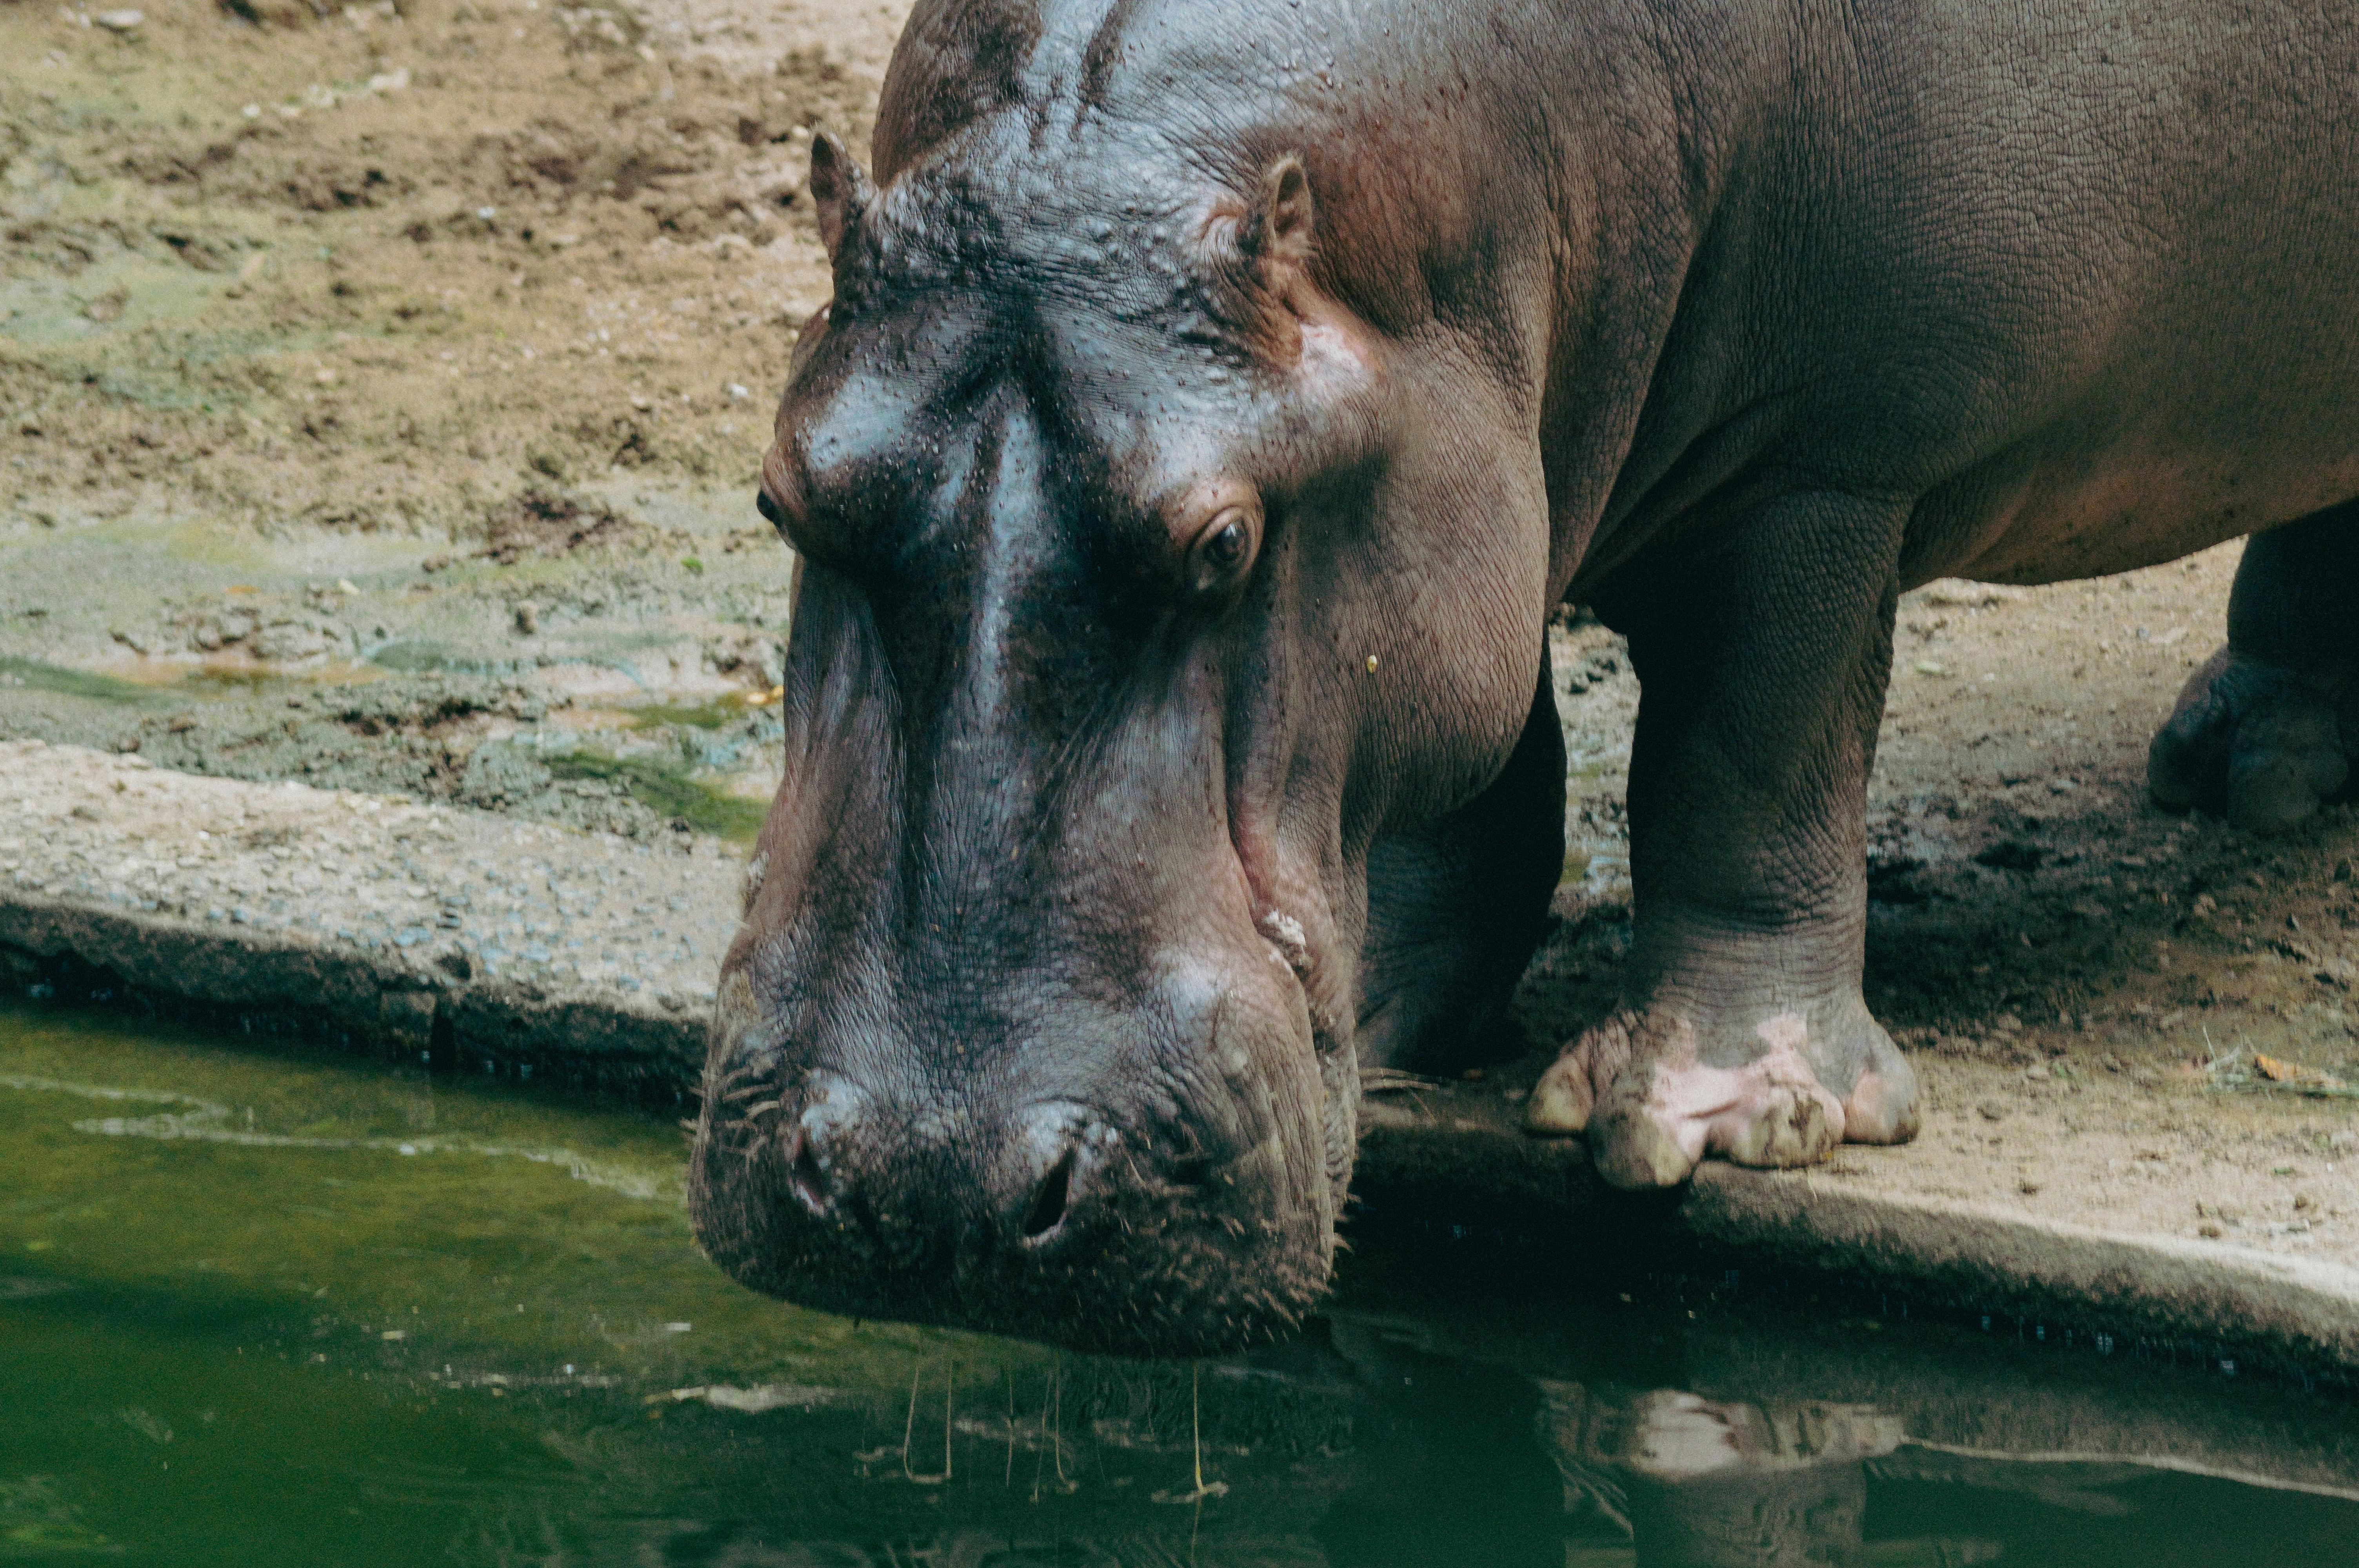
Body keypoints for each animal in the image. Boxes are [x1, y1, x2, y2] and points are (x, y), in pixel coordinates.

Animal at [689, 0, 2359, 1353]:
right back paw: (2244, 770)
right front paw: (1394, 1019)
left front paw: (1711, 1116)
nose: (926, 1188)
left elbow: (1743, 760)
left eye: (1224, 543)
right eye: (779, 495)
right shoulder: (1468, 483)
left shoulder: (1825, 461)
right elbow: (1479, 777)